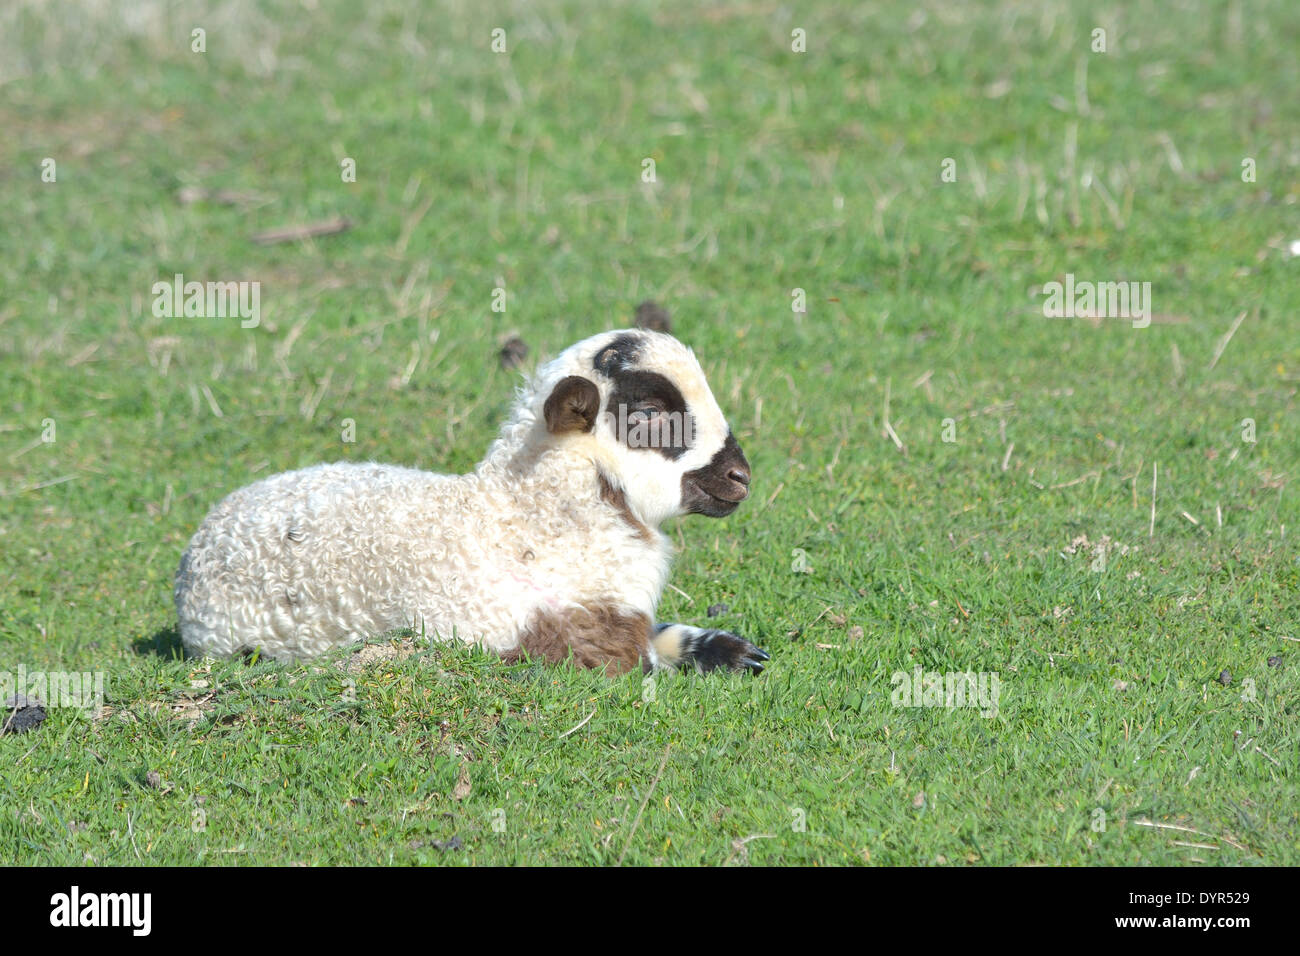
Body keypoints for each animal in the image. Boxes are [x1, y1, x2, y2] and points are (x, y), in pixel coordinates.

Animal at [174, 329, 768, 675]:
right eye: (647, 413)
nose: (740, 476)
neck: (522, 524)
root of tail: (194, 552)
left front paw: (731, 651)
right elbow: (638, 665)